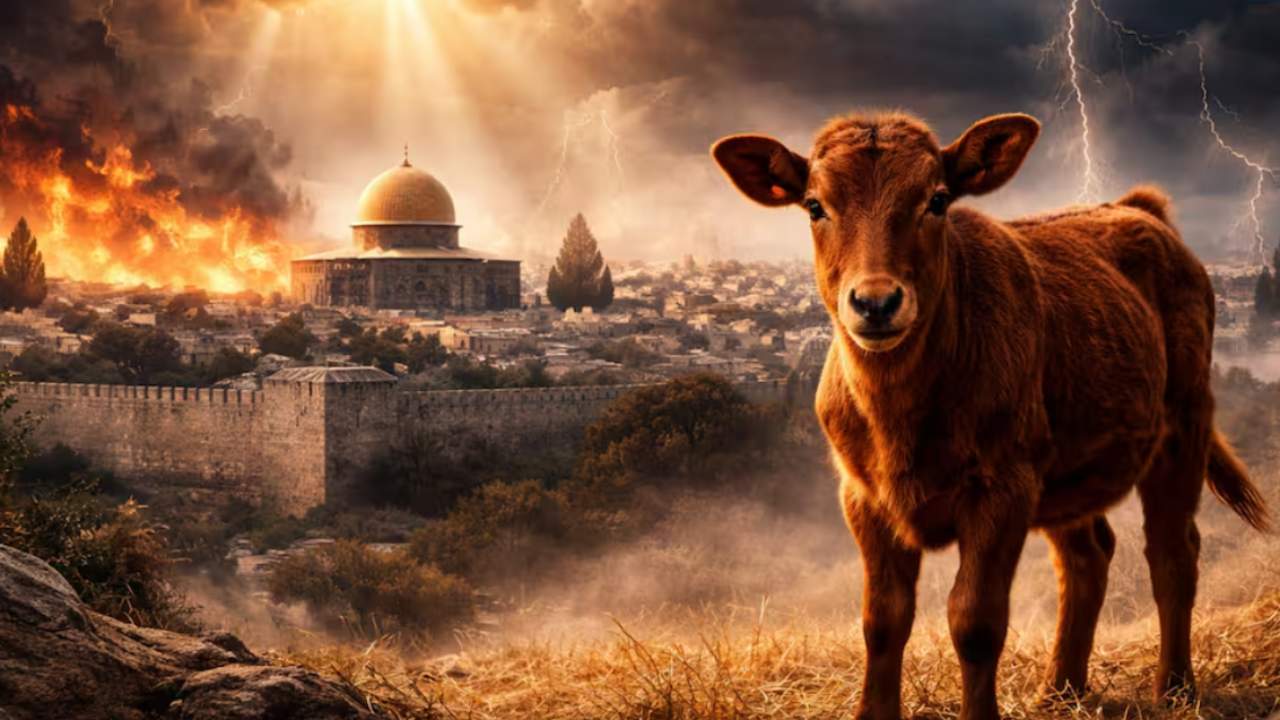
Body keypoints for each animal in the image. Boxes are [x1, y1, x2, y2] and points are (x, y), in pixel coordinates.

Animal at [711, 111, 1270, 720]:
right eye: (815, 205)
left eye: (936, 199)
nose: (877, 302)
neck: (900, 417)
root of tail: (1136, 206)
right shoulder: (861, 494)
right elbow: (882, 619)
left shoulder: (1003, 486)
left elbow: (975, 620)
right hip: (1067, 469)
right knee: (1088, 556)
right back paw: (1062, 691)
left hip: (1184, 423)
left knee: (1173, 551)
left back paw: (1174, 689)